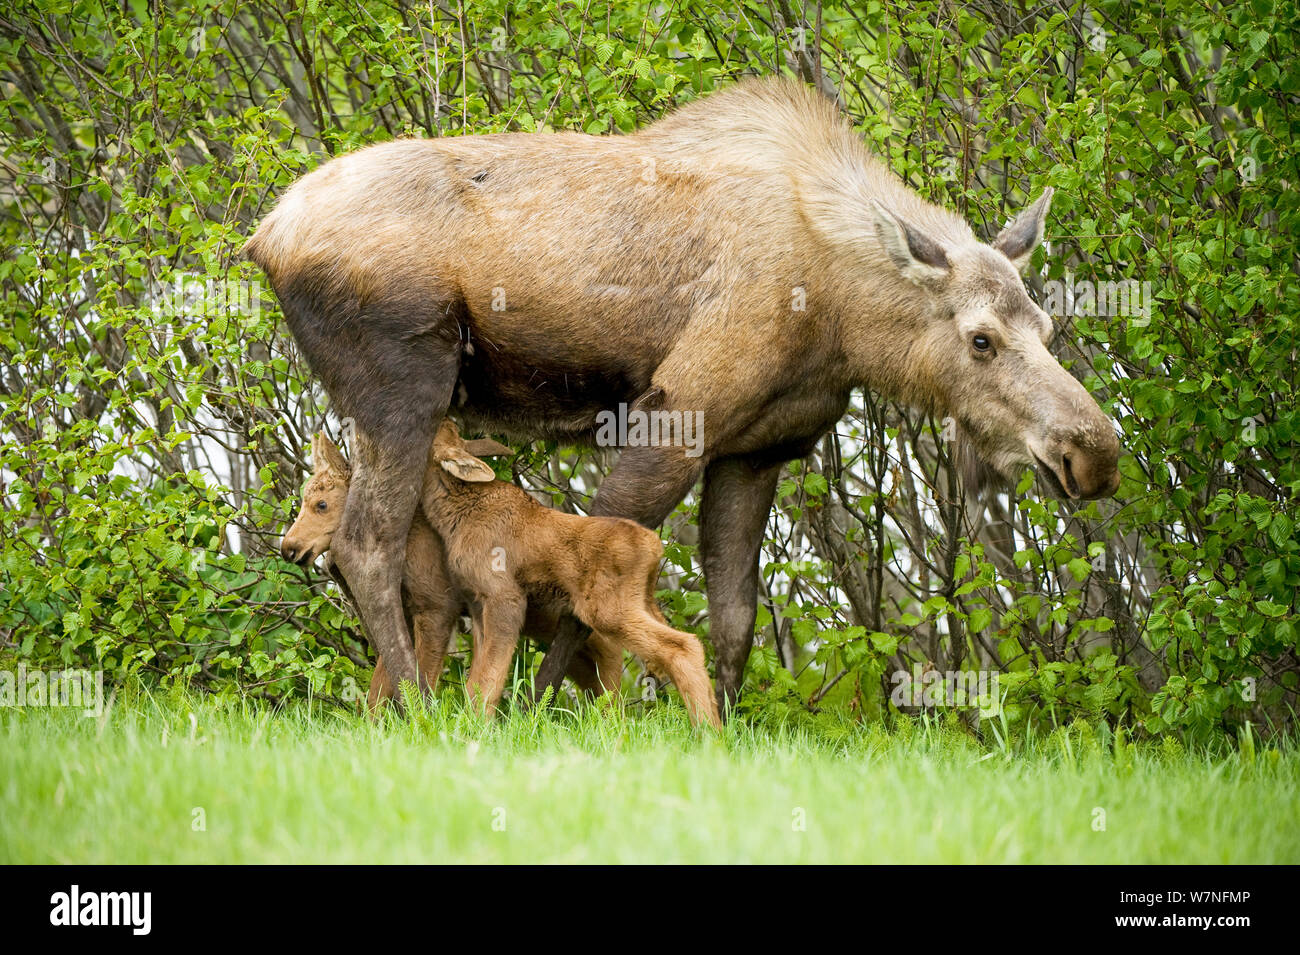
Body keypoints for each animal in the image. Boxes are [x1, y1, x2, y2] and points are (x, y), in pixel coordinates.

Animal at [246, 76, 1122, 716]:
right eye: (981, 338)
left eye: (1047, 323)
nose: (1094, 451)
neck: (841, 321)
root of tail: (262, 236)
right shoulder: (675, 417)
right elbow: (588, 606)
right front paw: (539, 712)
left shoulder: (756, 450)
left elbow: (733, 620)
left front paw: (719, 727)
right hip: (404, 385)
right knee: (365, 543)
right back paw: (417, 710)